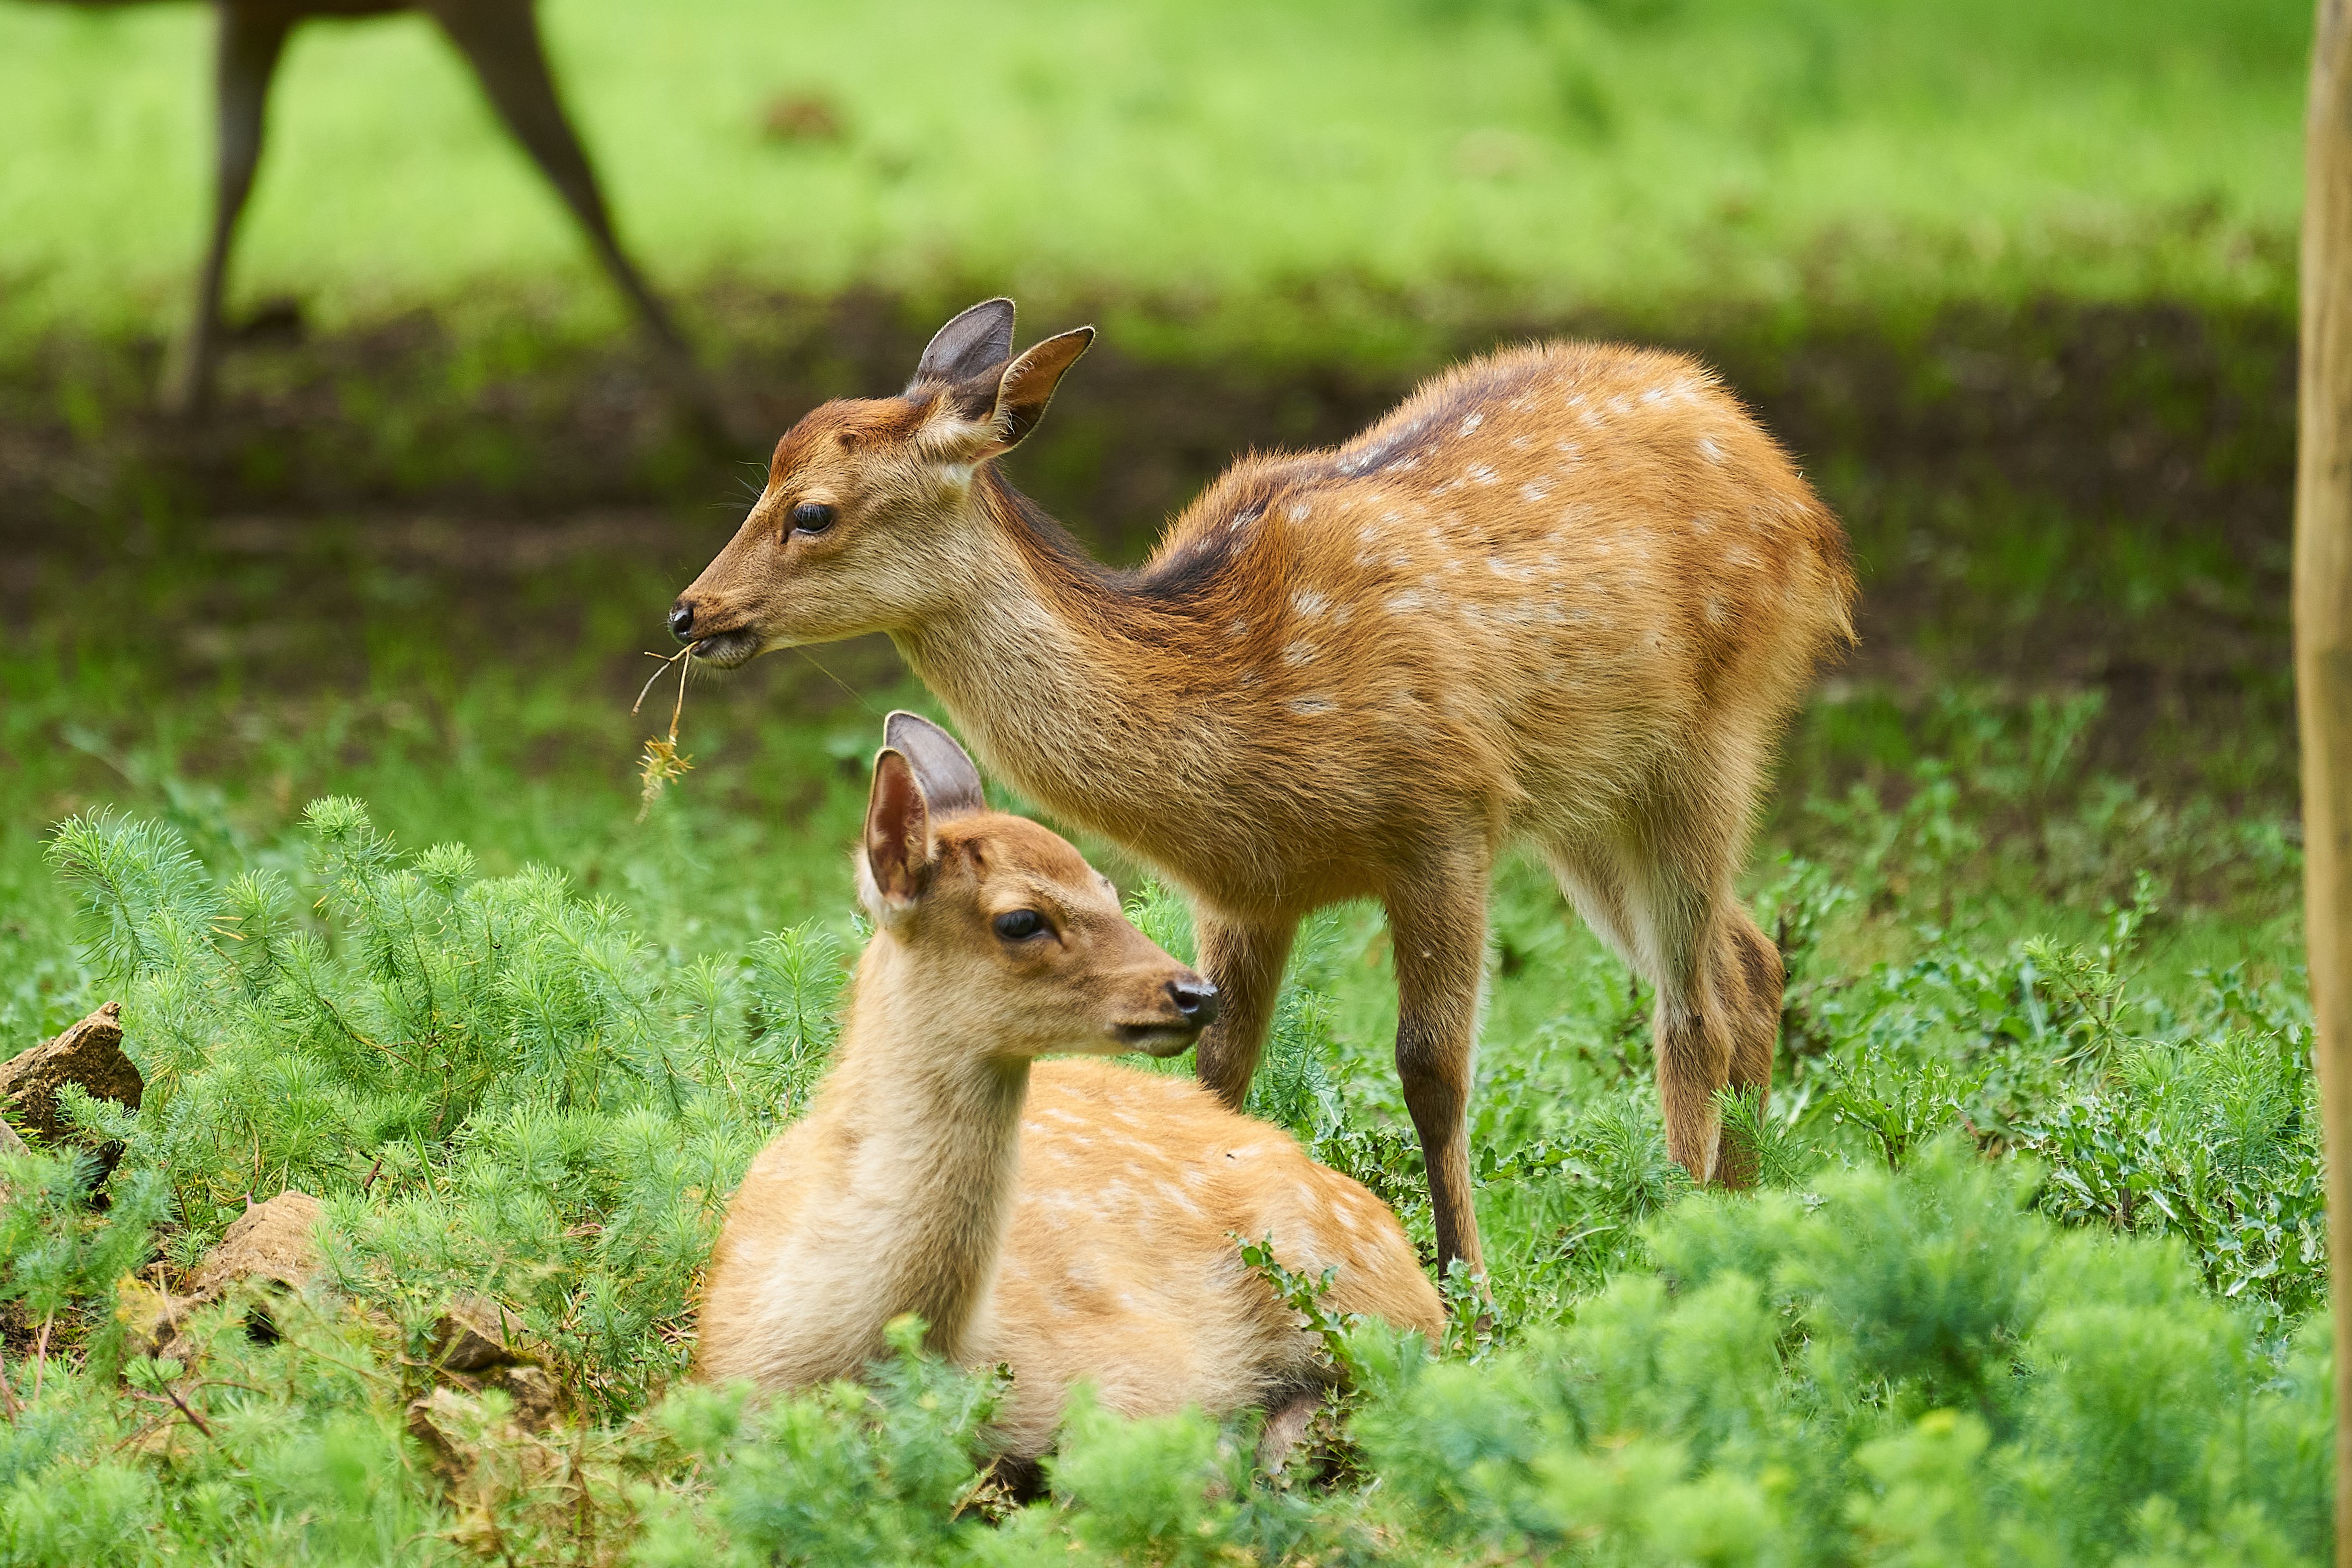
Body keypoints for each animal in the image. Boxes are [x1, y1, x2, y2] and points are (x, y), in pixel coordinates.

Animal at [670, 299, 1857, 1281]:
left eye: (812, 511)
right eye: (762, 486)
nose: (690, 611)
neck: (1243, 718)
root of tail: (1802, 497)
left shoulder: (1445, 817)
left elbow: (1430, 1069)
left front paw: (1467, 1283)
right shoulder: (1240, 890)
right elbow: (1213, 1077)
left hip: (1716, 731)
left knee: (1692, 1004)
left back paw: (1686, 1218)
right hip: (1586, 794)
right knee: (1750, 960)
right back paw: (1743, 1196)